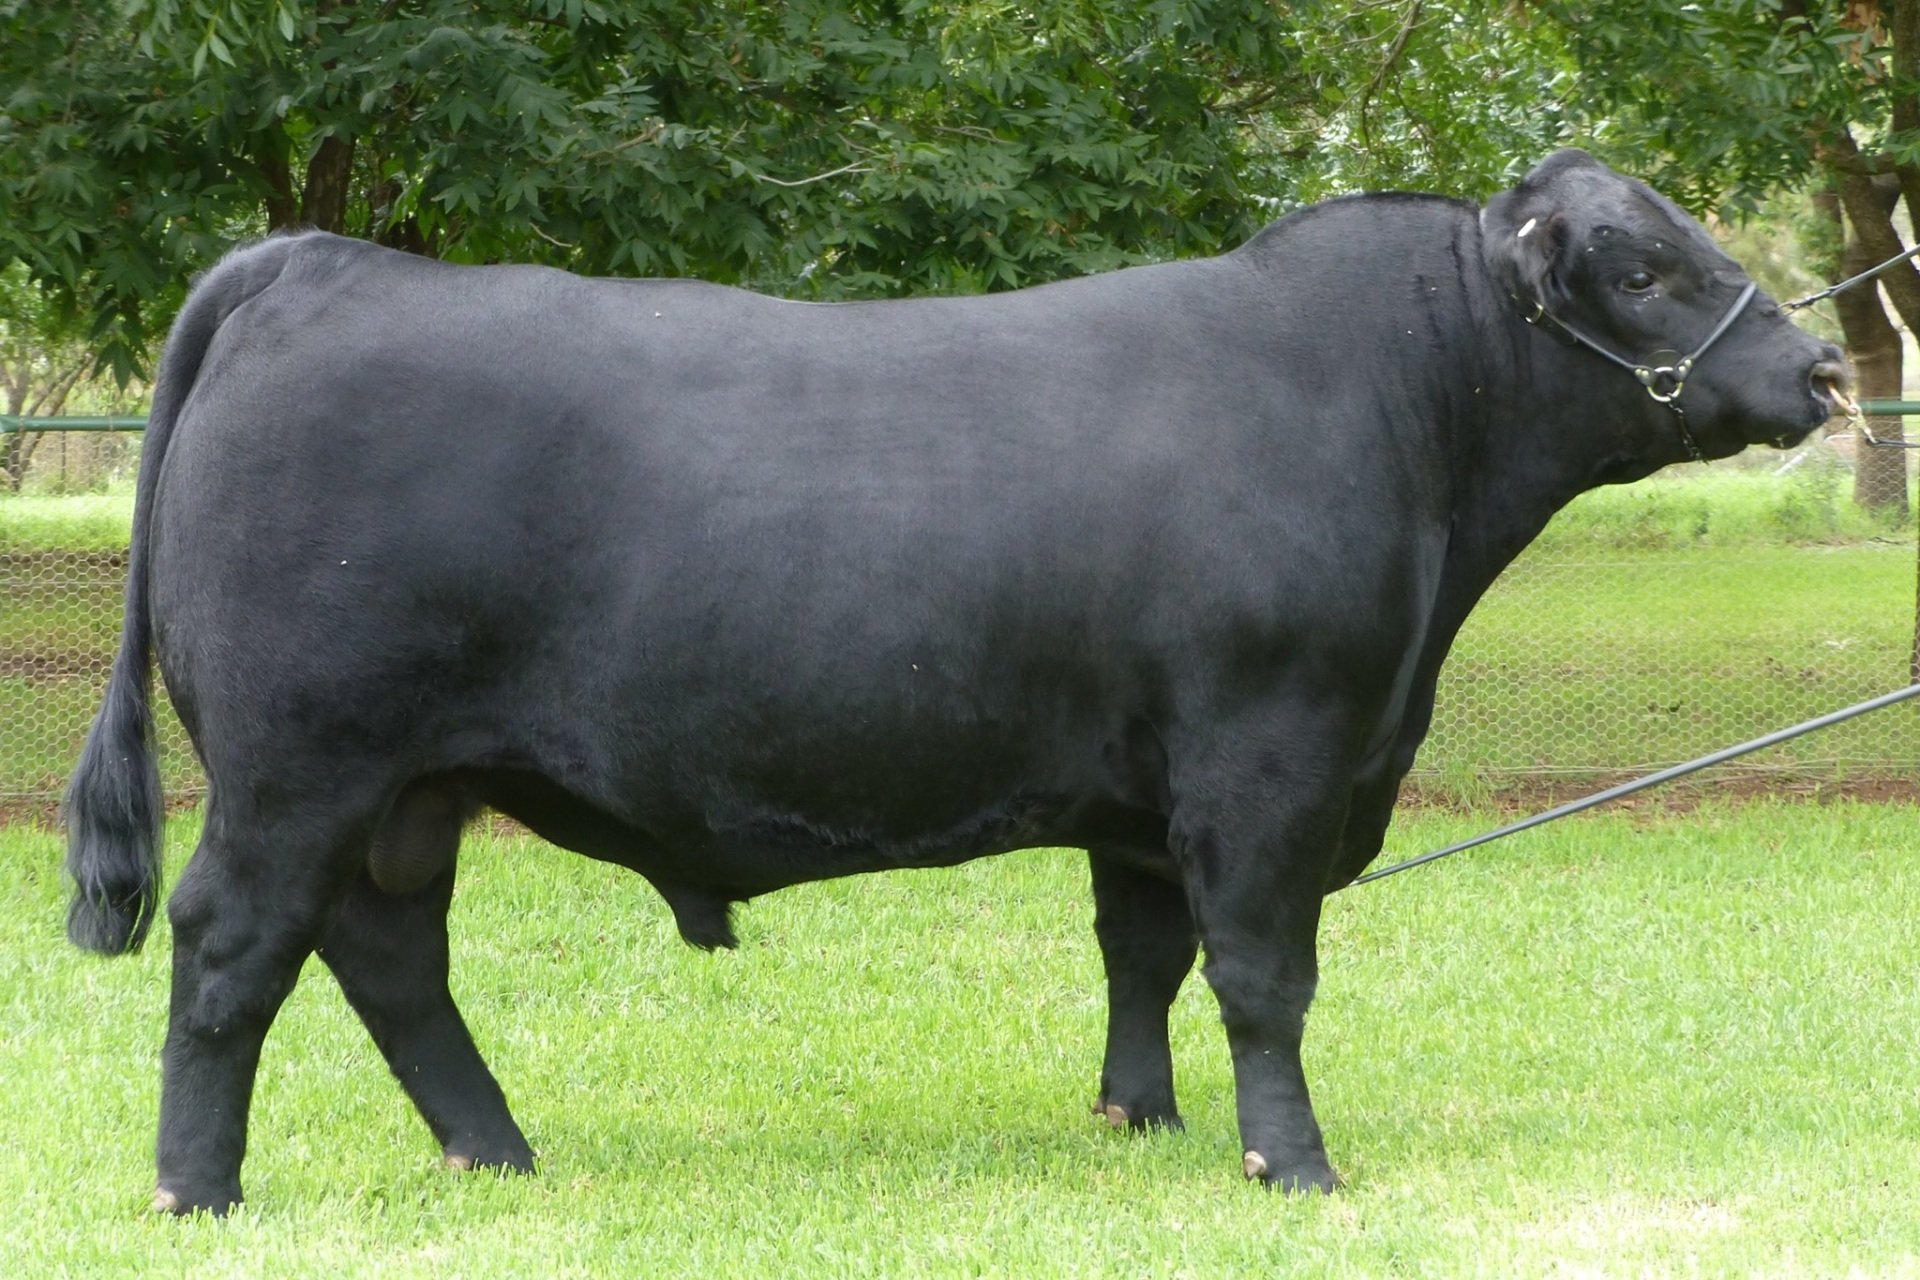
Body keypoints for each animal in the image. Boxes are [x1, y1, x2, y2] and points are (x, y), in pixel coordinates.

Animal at [65, 150, 1847, 1214]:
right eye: (1644, 267)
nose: (1826, 366)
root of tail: (321, 264)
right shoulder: (1271, 755)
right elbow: (1262, 974)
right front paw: (1292, 1166)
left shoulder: (1156, 784)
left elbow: (1146, 952)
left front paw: (1142, 1120)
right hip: (300, 765)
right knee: (234, 949)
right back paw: (197, 1190)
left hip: (407, 789)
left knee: (387, 957)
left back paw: (498, 1156)